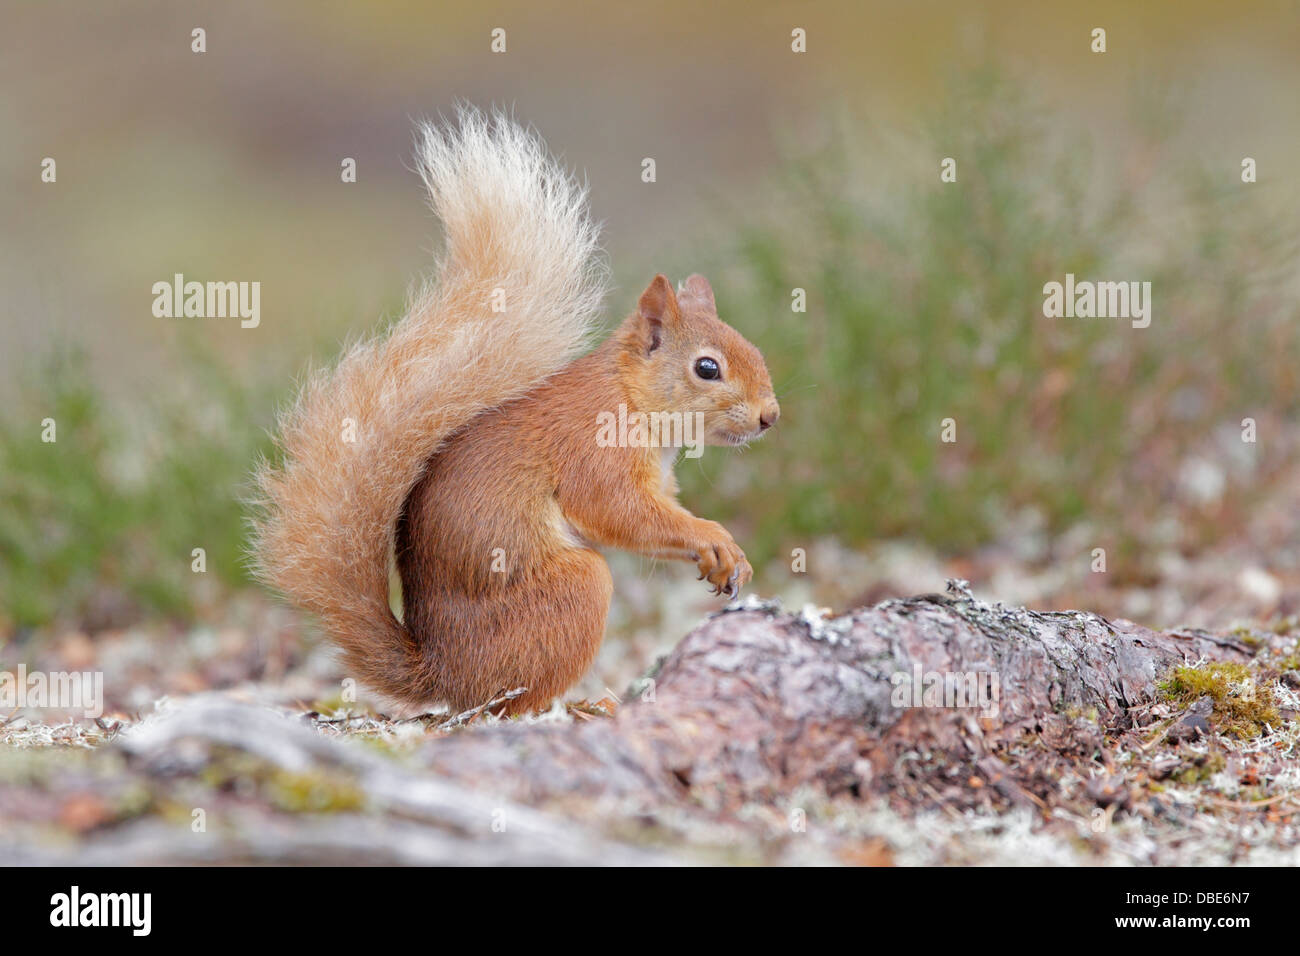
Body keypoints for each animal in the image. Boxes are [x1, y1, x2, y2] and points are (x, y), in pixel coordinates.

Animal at [251, 108, 779, 716]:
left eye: (754, 348)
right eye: (707, 368)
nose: (770, 416)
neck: (630, 399)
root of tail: (444, 675)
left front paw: (726, 556)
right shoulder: (595, 451)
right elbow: (621, 512)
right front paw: (711, 537)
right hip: (572, 593)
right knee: (508, 703)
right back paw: (582, 707)